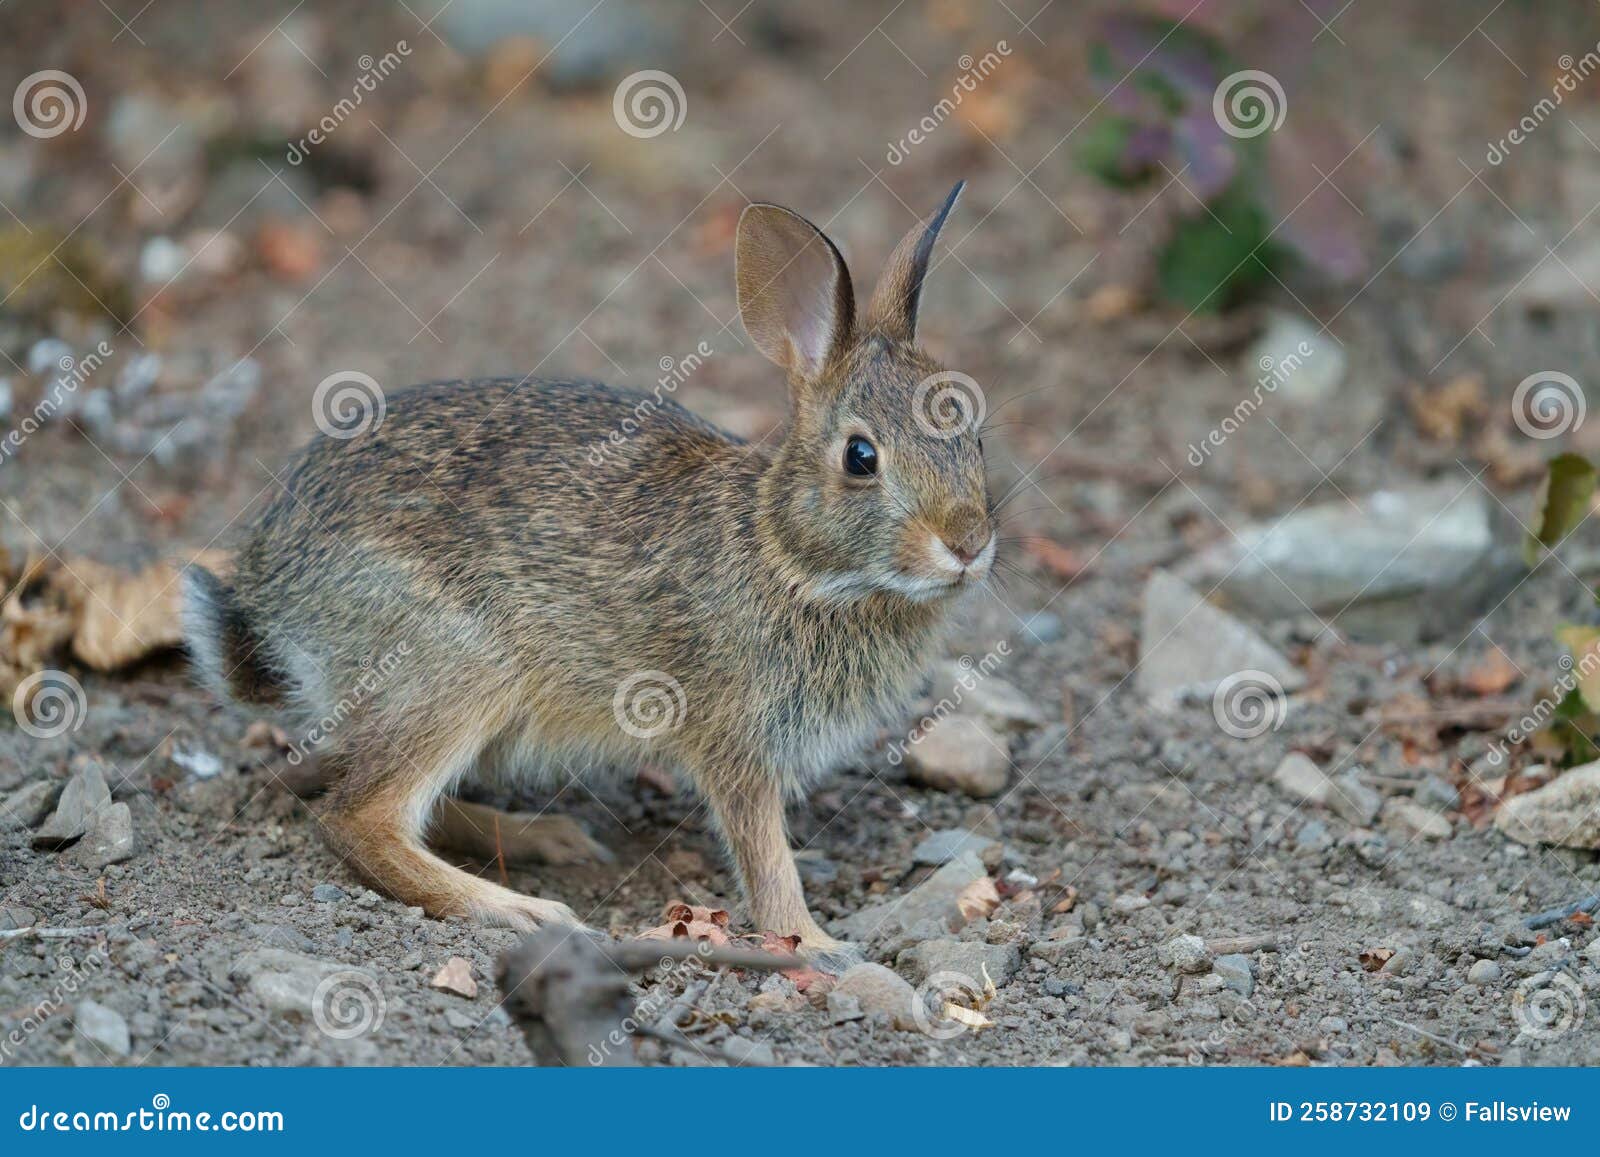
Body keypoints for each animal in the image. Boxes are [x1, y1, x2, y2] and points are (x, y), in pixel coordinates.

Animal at [182, 181, 994, 969]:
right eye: (861, 457)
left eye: (974, 434)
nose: (969, 543)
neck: (786, 553)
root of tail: (270, 590)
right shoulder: (736, 740)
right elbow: (764, 856)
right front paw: (819, 943)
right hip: (458, 665)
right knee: (360, 816)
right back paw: (516, 906)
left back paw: (546, 840)